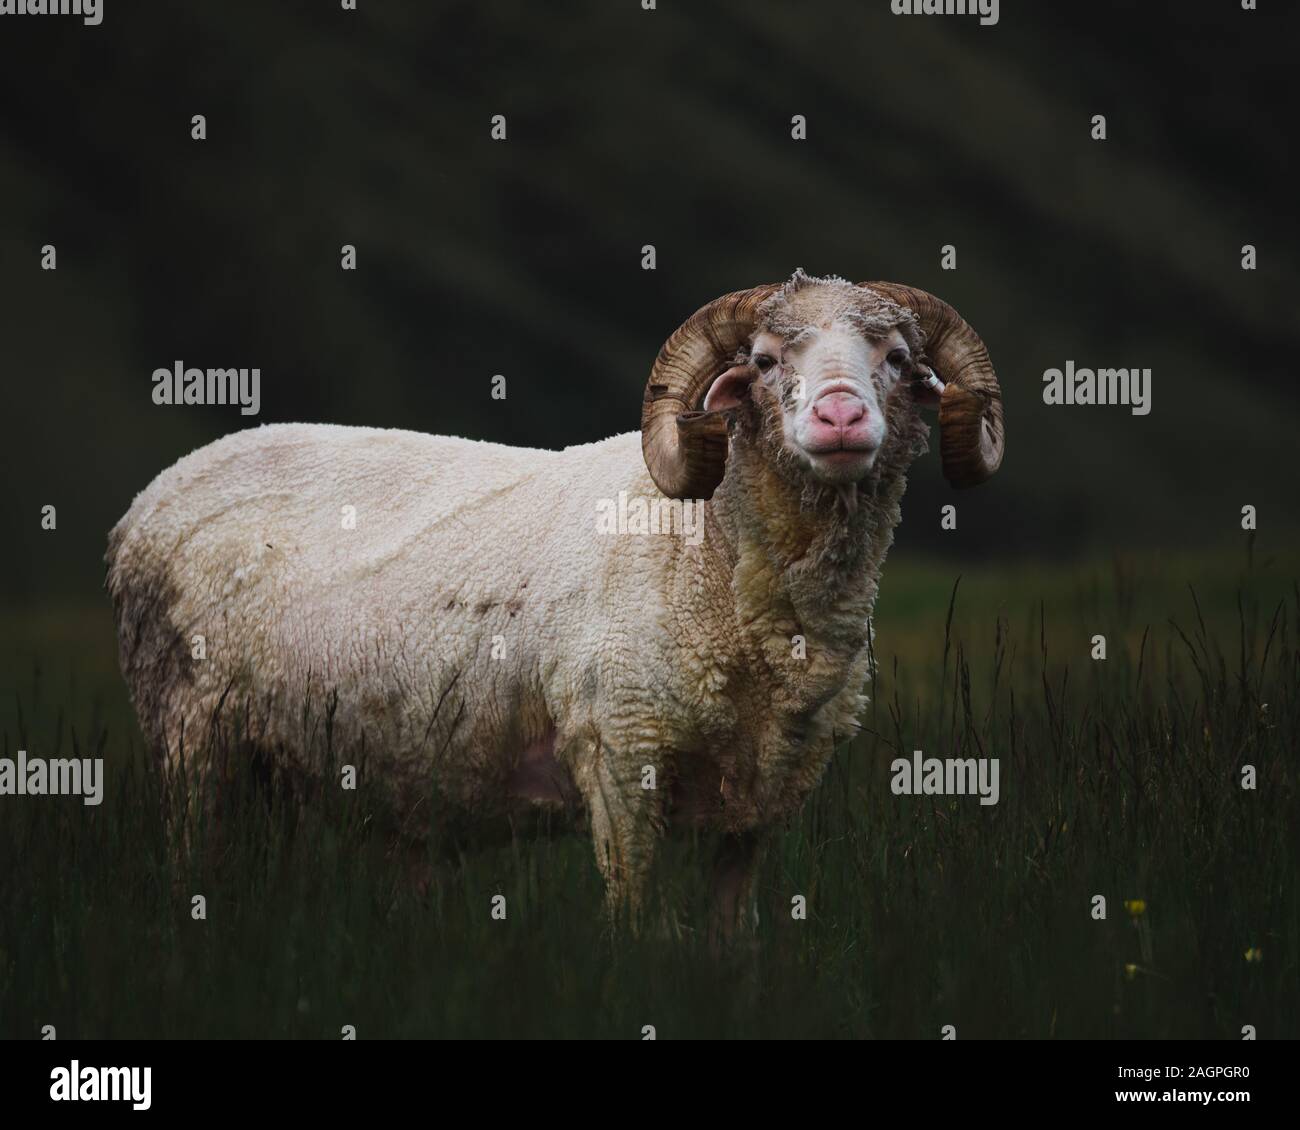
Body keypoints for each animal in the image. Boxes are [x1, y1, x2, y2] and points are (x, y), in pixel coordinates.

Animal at [106, 269, 1005, 934]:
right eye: (763, 359)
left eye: (898, 357)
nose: (841, 415)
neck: (710, 550)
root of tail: (146, 501)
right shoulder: (620, 757)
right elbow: (637, 921)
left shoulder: (761, 801)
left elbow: (732, 935)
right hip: (190, 737)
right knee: (194, 864)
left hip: (279, 764)